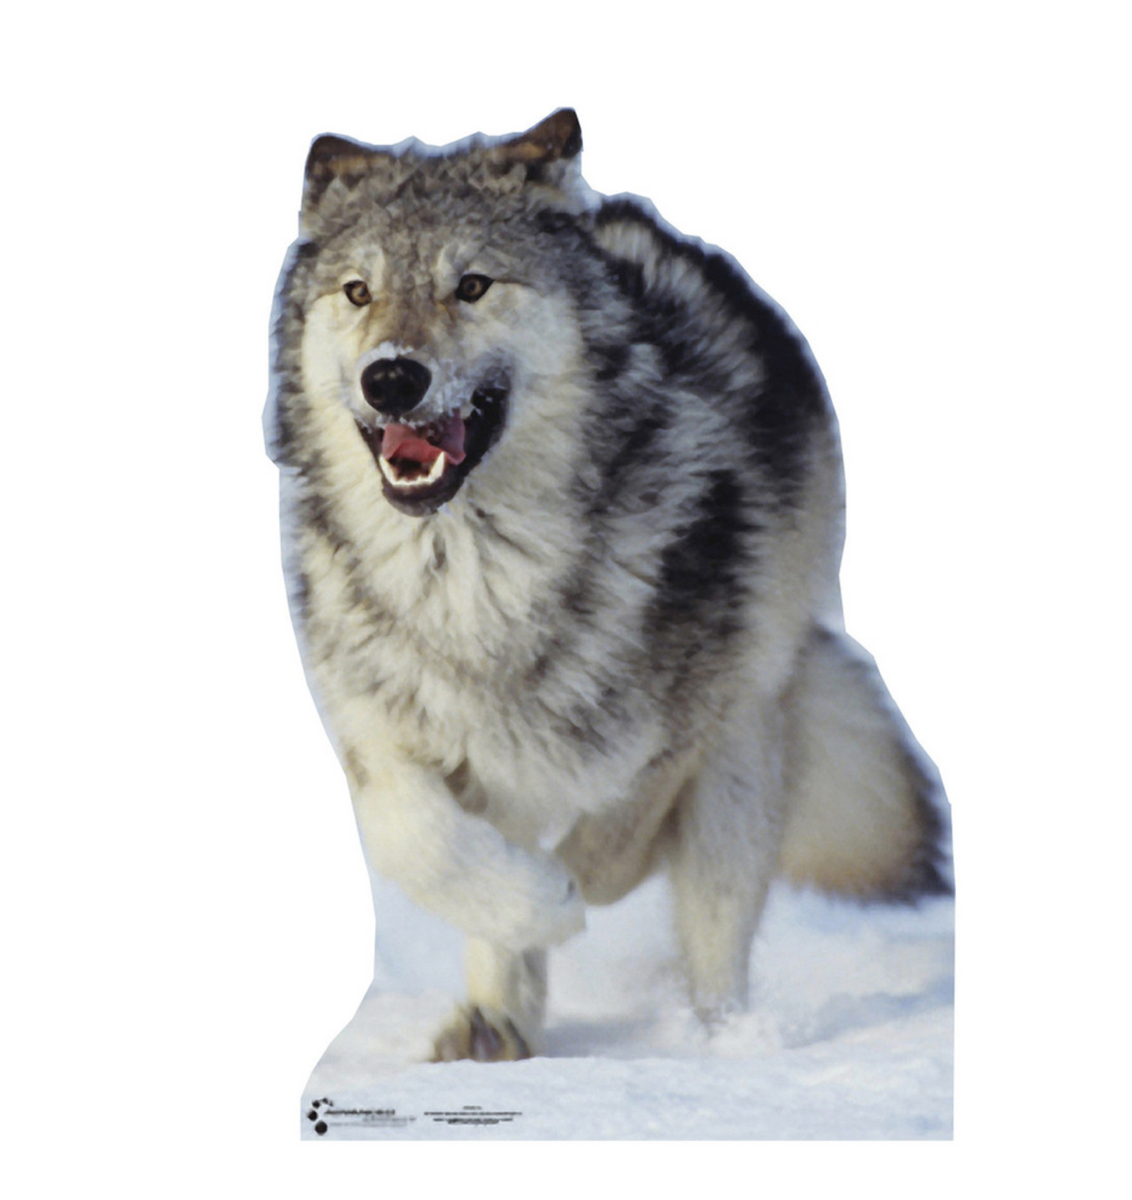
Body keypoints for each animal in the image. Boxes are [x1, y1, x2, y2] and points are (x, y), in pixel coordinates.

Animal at [265, 109, 950, 1062]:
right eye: (359, 292)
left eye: (472, 286)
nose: (392, 376)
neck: (476, 574)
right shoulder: (381, 732)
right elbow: (418, 840)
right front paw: (531, 906)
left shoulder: (688, 728)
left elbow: (617, 842)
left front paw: (566, 888)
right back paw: (494, 1026)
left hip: (747, 743)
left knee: (712, 927)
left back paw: (716, 1047)